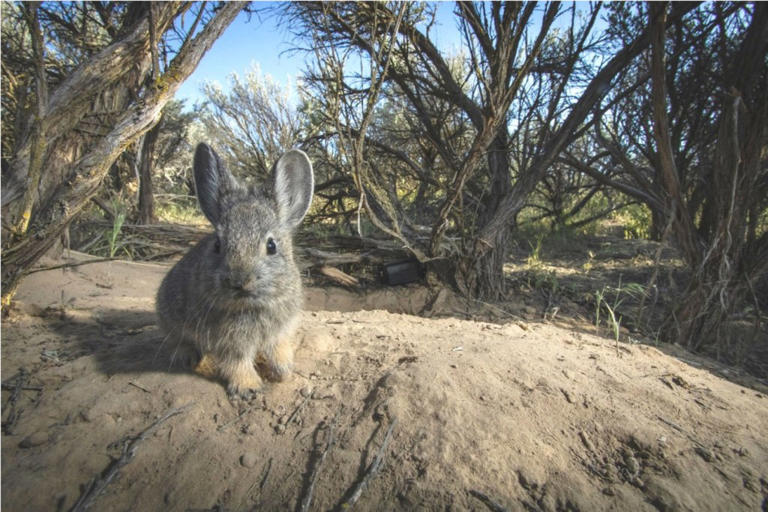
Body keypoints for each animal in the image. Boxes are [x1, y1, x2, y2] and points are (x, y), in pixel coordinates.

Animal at [156, 143, 314, 398]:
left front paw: (283, 372)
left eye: (271, 245)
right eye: (218, 245)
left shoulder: (280, 332)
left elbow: (279, 350)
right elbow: (236, 362)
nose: (239, 281)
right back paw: (187, 357)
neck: (251, 305)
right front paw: (248, 387)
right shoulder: (229, 342)